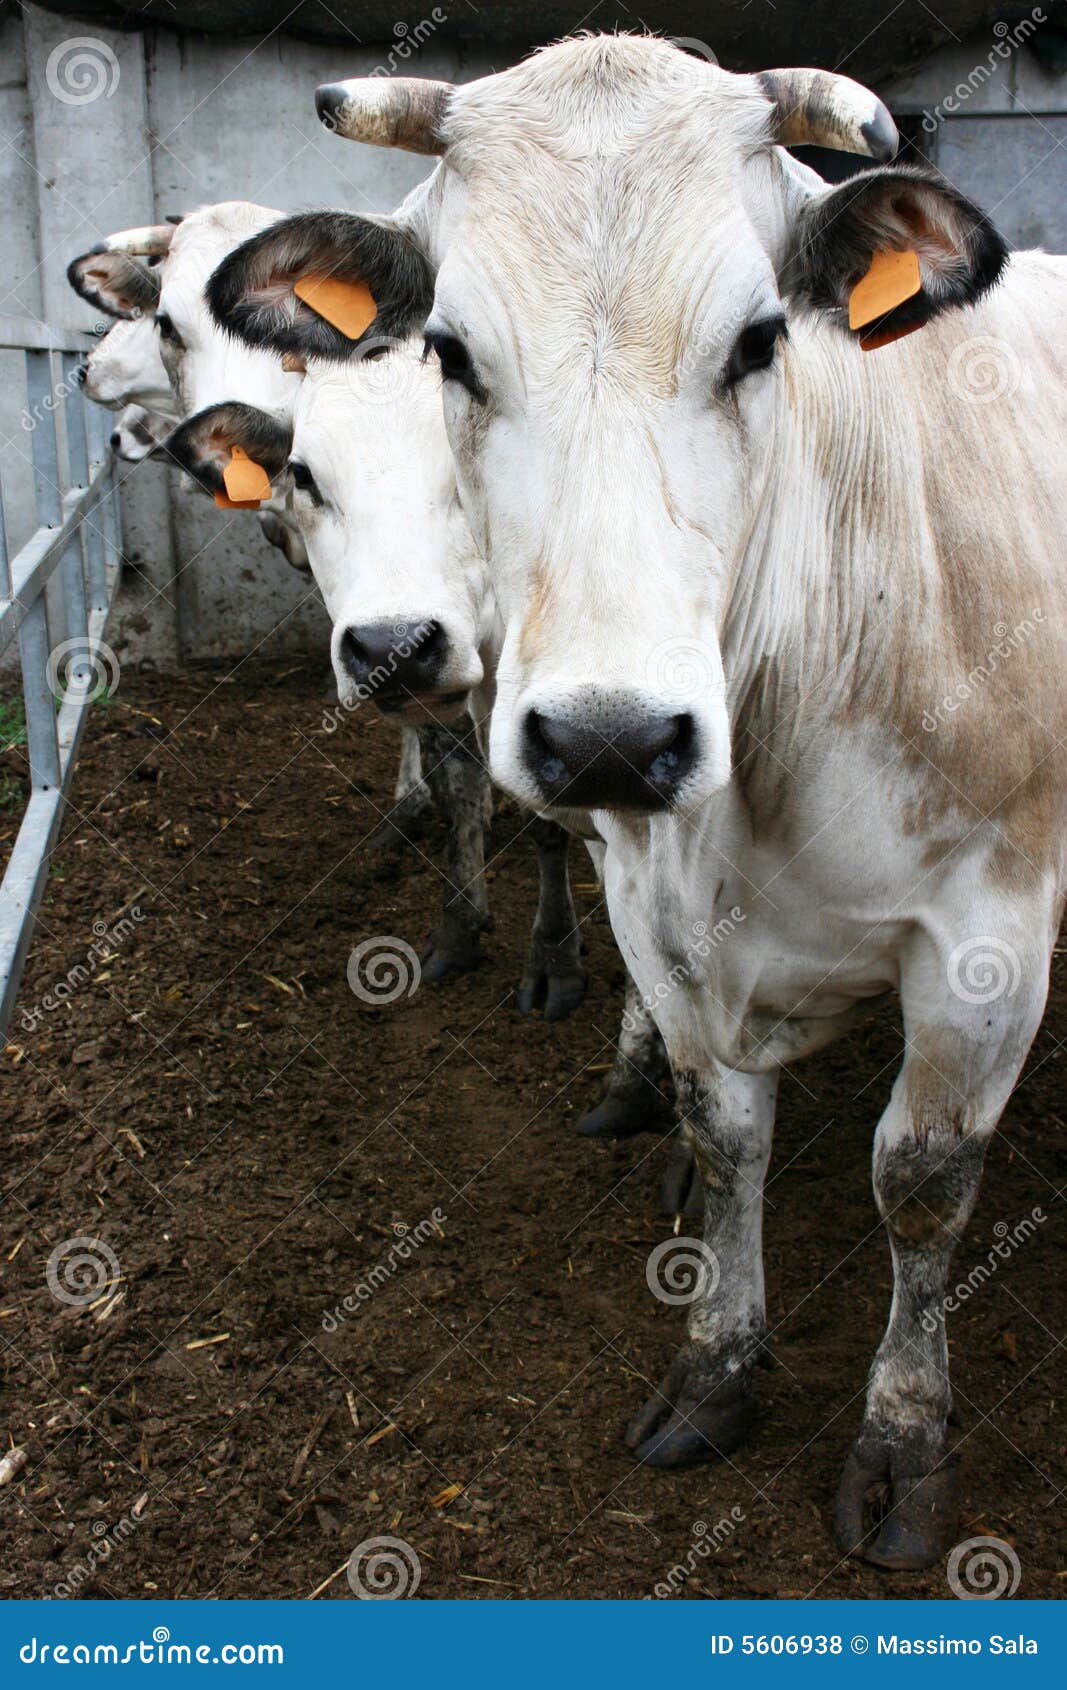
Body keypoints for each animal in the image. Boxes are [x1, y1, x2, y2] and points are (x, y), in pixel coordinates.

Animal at [233, 35, 1066, 1568]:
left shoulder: (986, 934)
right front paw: (714, 1364)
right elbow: (718, 1128)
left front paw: (900, 1436)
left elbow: (919, 1180)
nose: (610, 739)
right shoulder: (651, 904)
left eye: (758, 341)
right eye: (450, 350)